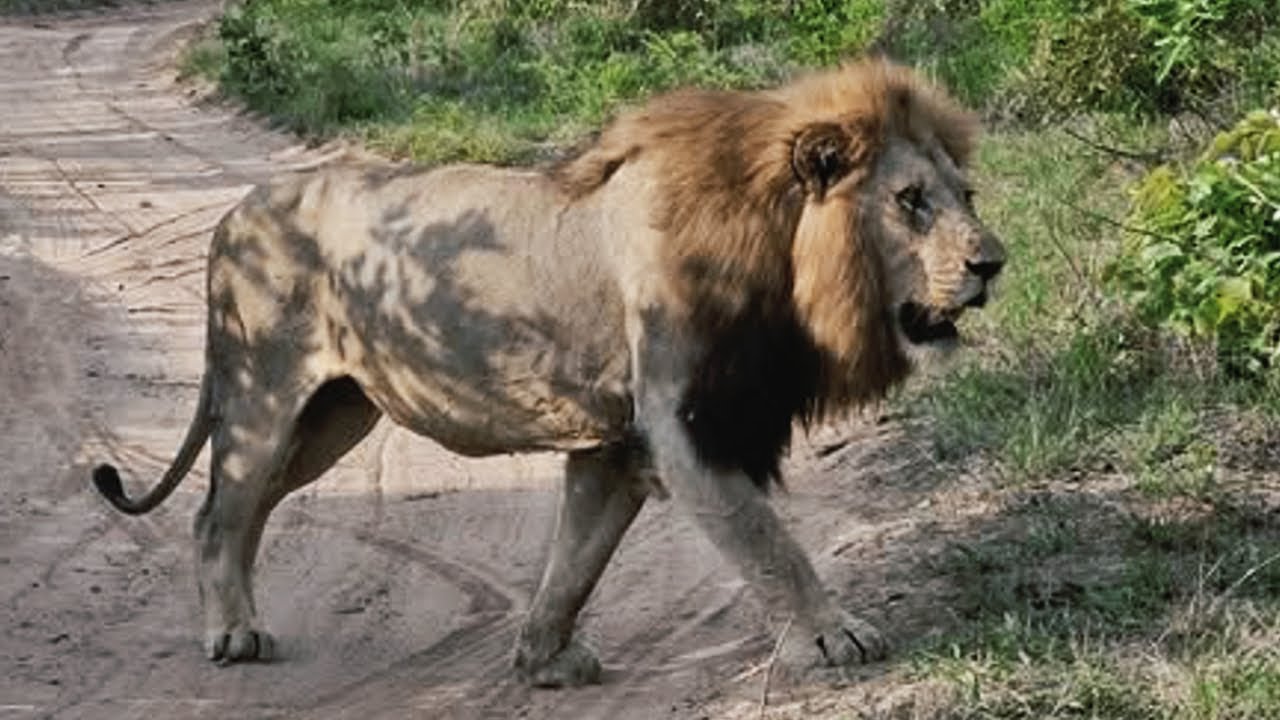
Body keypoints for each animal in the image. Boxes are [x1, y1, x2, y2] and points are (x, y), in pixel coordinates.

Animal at [91, 58, 1004, 685]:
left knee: (245, 512)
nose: (993, 262)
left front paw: (541, 659)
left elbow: (577, 559)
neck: (780, 250)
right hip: (263, 395)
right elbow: (767, 541)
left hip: (334, 414)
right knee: (217, 514)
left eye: (965, 194)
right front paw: (833, 635)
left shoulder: (618, 442)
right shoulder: (685, 426)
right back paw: (232, 635)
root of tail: (235, 211)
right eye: (910, 202)